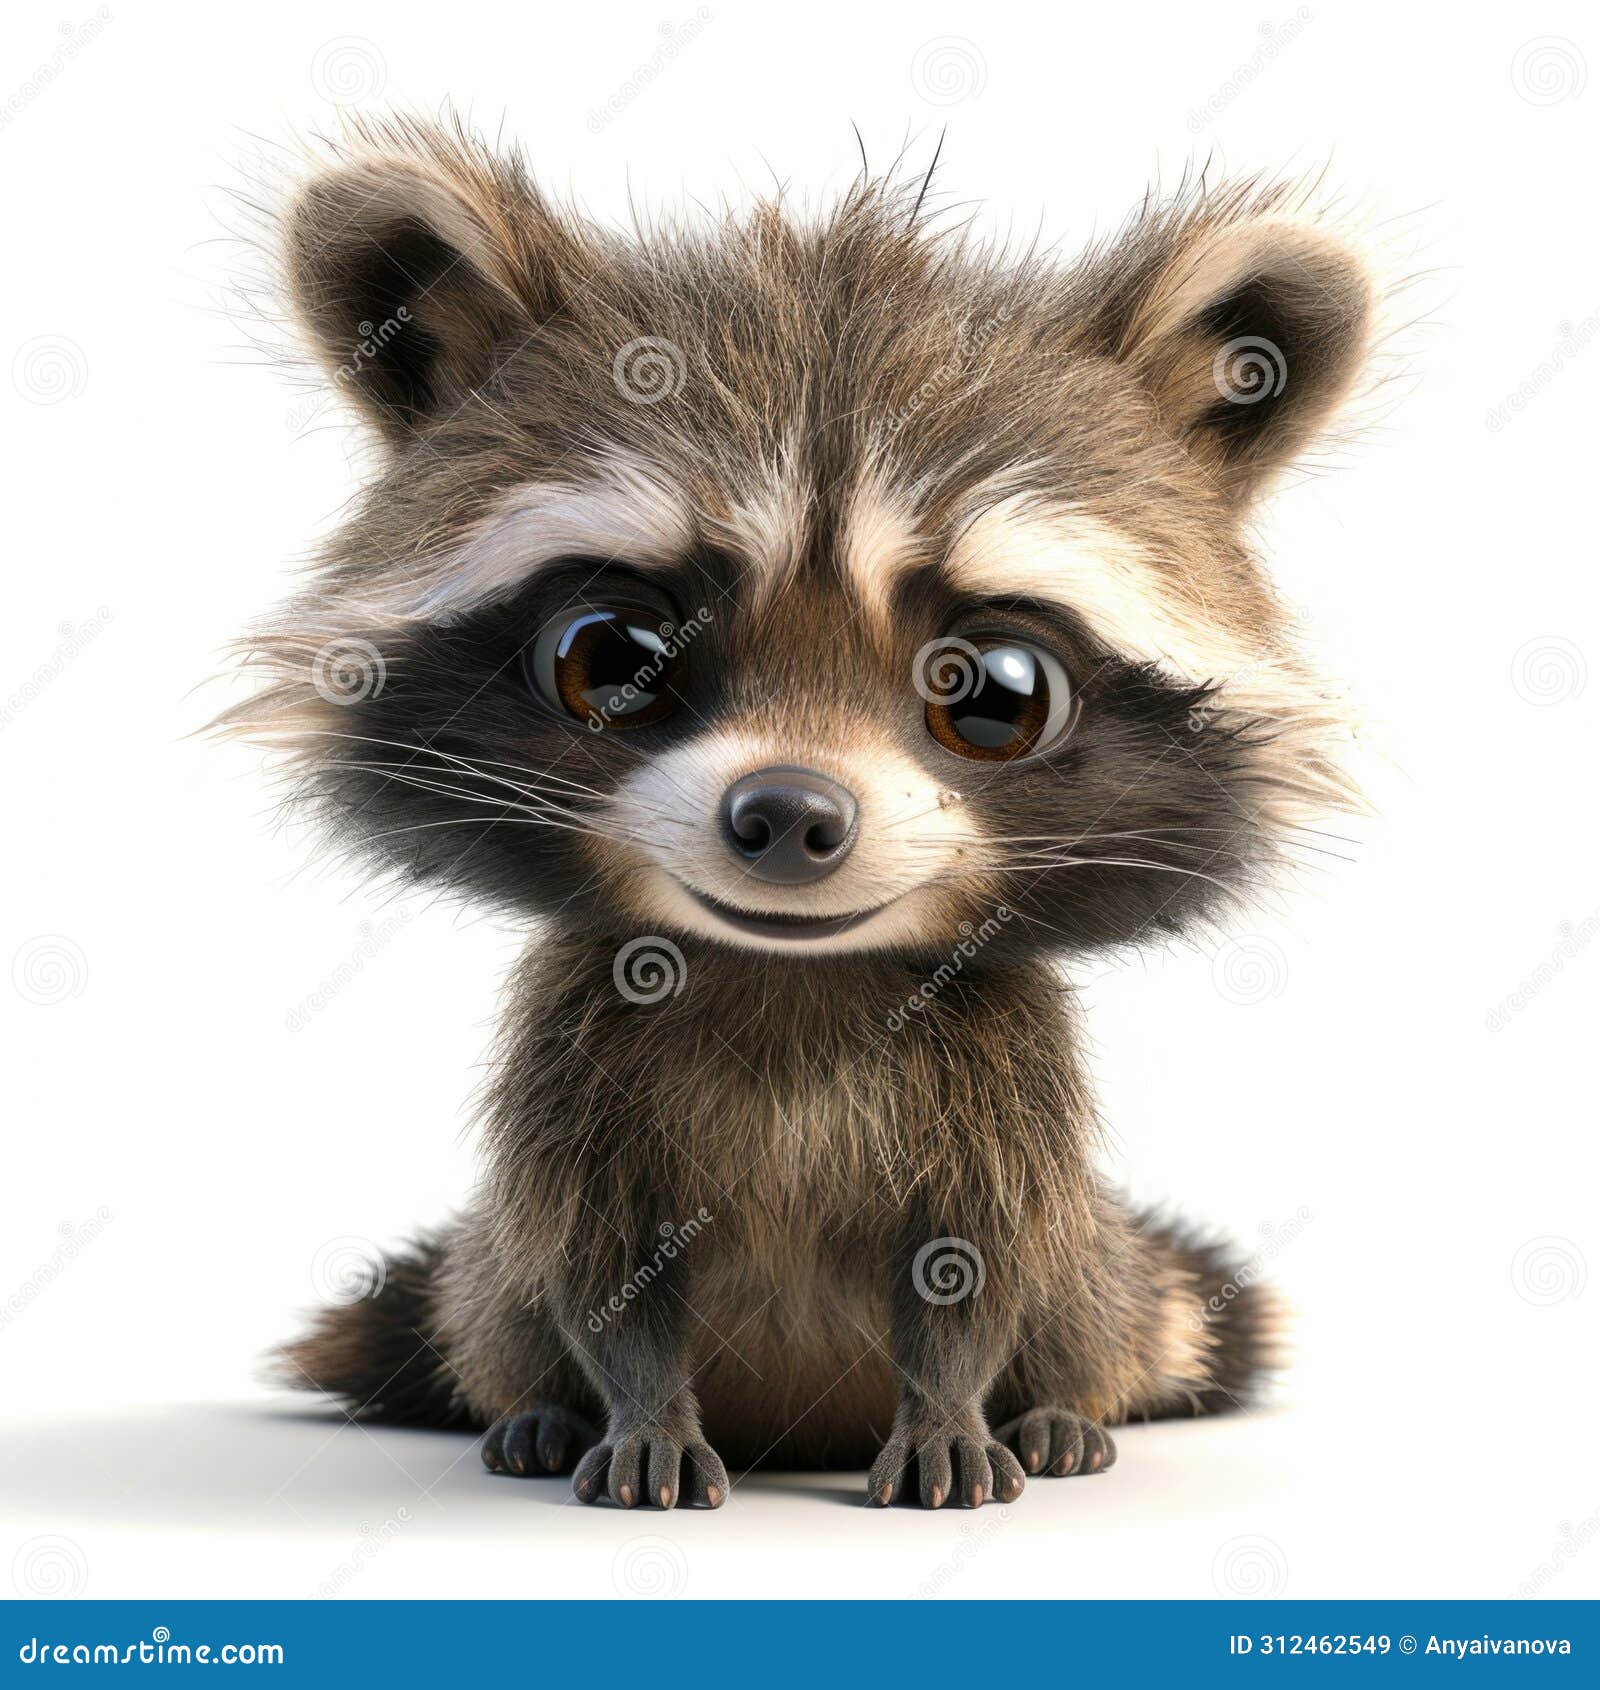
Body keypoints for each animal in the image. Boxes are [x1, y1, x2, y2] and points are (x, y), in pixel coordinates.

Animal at [227, 117, 1375, 1509]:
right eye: (612, 657)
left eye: (996, 690)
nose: (786, 814)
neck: (790, 974)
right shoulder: (573, 1065)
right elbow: (597, 1262)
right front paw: (638, 1410)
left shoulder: (999, 1075)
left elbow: (982, 1256)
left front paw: (953, 1408)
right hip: (485, 1272)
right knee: (496, 1298)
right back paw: (534, 1409)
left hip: (1102, 1255)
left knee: (1086, 1291)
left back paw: (1060, 1405)